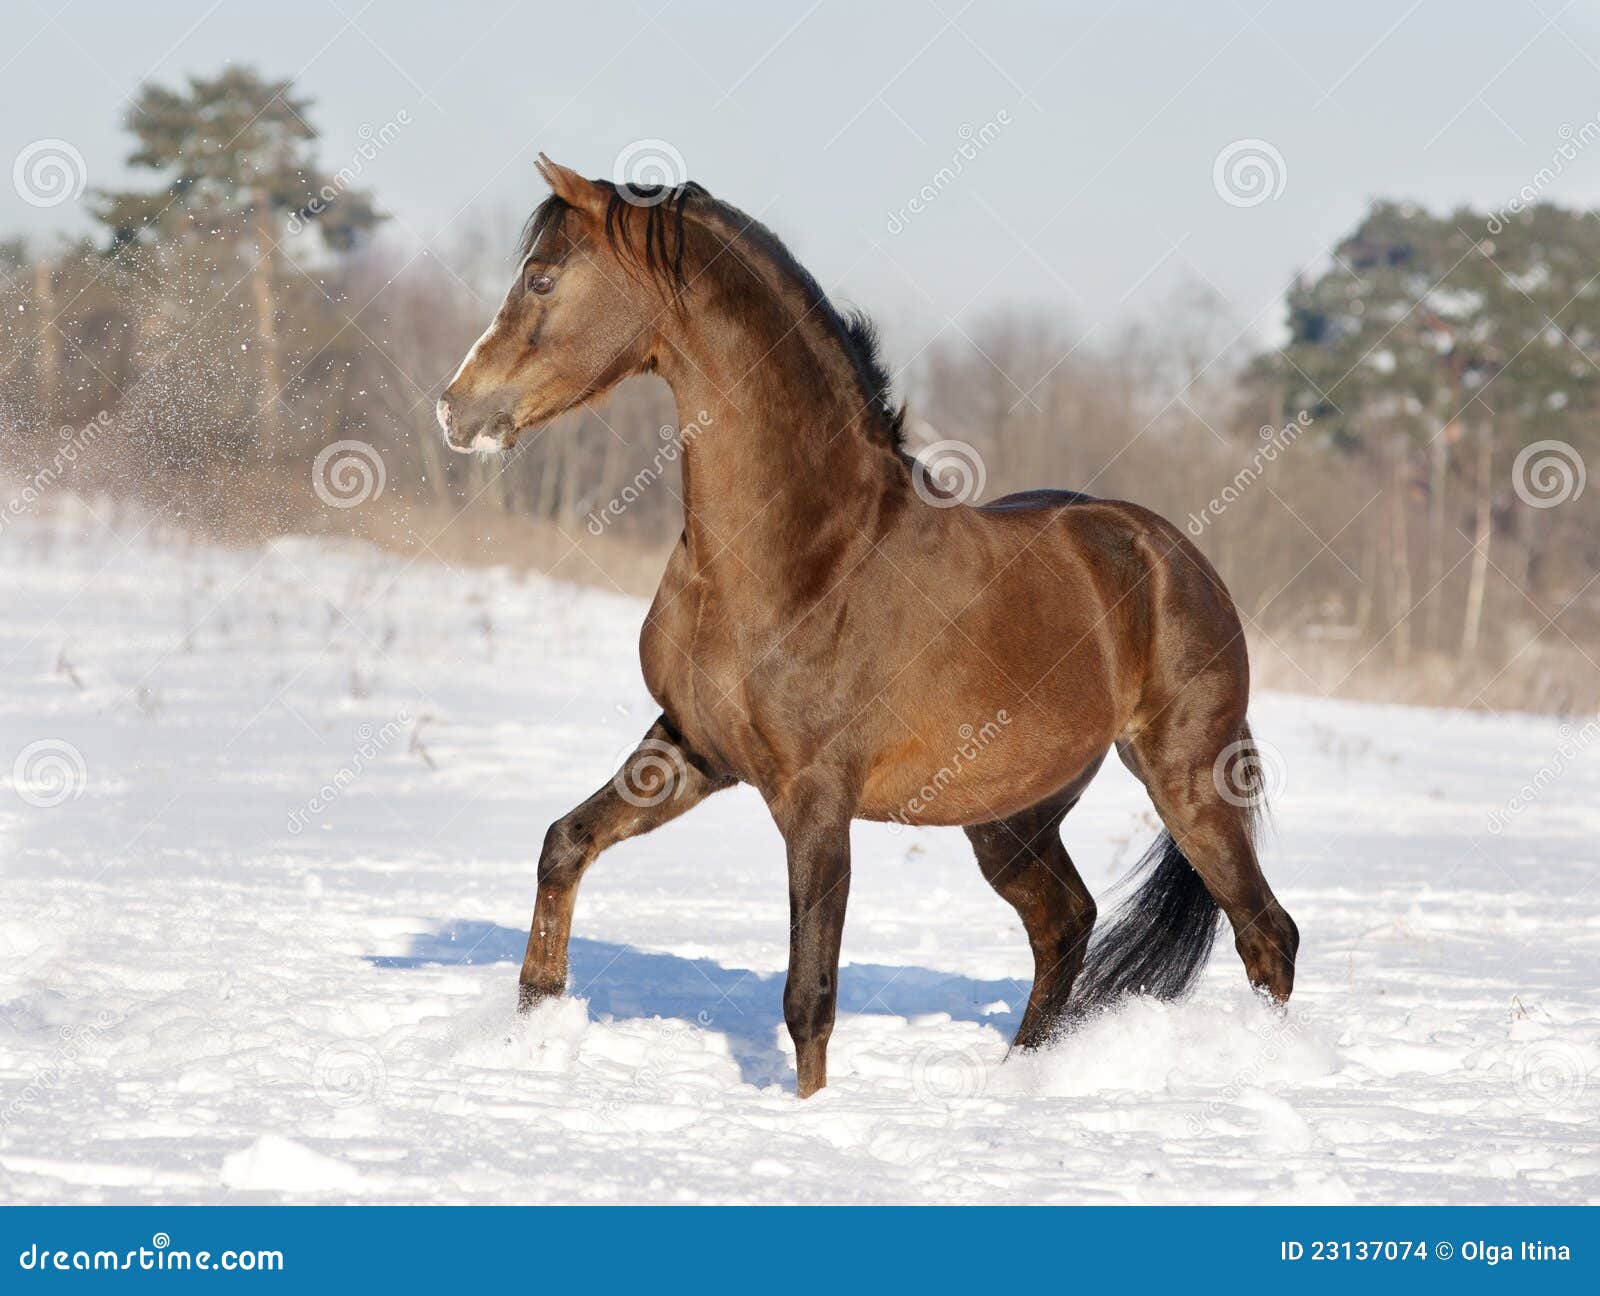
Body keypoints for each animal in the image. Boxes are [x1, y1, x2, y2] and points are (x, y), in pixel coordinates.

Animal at [436, 156, 1299, 1097]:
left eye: (542, 279)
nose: (455, 410)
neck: (800, 554)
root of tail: (1177, 558)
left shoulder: (816, 799)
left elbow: (809, 996)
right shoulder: (693, 748)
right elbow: (565, 844)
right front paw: (534, 1022)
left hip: (1186, 777)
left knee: (1266, 934)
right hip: (1011, 816)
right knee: (1067, 924)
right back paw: (1018, 1083)